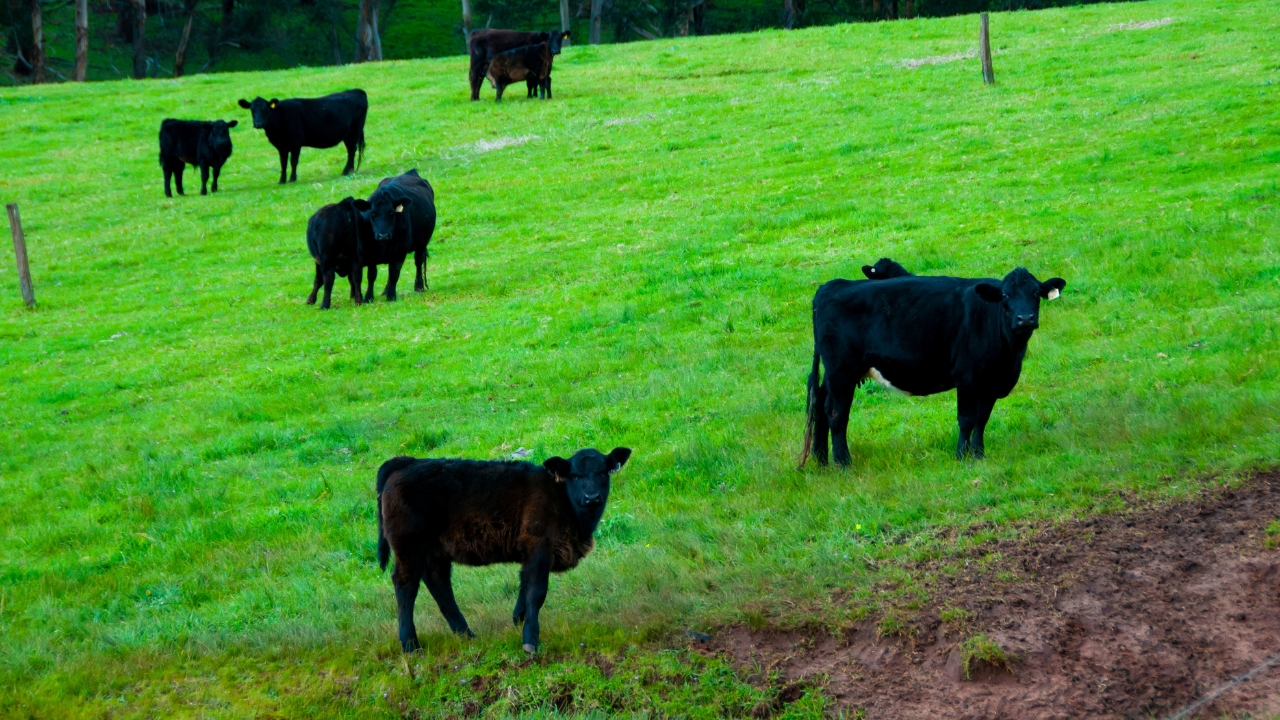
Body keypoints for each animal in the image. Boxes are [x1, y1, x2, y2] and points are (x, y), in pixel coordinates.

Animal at [237, 89, 367, 184]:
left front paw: (292, 178)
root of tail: (355, 91)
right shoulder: (281, 146)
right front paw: (282, 180)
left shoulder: (296, 143)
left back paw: (346, 171)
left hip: (355, 131)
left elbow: (293, 161)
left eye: (265, 110)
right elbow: (283, 162)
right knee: (351, 150)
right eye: (252, 110)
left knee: (352, 150)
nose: (258, 124)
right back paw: (350, 169)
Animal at [351, 169, 436, 301]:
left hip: (422, 244)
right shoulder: (369, 252)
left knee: (418, 262)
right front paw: (369, 297)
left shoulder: (399, 252)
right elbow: (372, 275)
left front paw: (391, 296)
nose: (383, 235)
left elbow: (394, 273)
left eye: (391, 213)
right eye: (372, 214)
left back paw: (419, 287)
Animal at [376, 447, 632, 654]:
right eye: (576, 475)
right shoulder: (539, 548)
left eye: (603, 473)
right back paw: (411, 644)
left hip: (435, 551)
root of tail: (408, 461)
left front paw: (518, 621)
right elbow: (536, 593)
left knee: (439, 584)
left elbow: (525, 587)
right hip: (409, 547)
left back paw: (466, 634)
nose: (591, 497)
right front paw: (530, 639)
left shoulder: (529, 553)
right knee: (406, 586)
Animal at [800, 267, 1066, 467]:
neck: (1009, 356)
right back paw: (843, 463)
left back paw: (821, 461)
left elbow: (982, 419)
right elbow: (967, 419)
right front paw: (962, 456)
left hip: (836, 375)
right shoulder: (967, 378)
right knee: (837, 414)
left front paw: (979, 455)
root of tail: (832, 285)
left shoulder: (990, 383)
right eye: (1005, 295)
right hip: (842, 371)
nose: (1025, 318)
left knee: (821, 406)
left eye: (1036, 292)